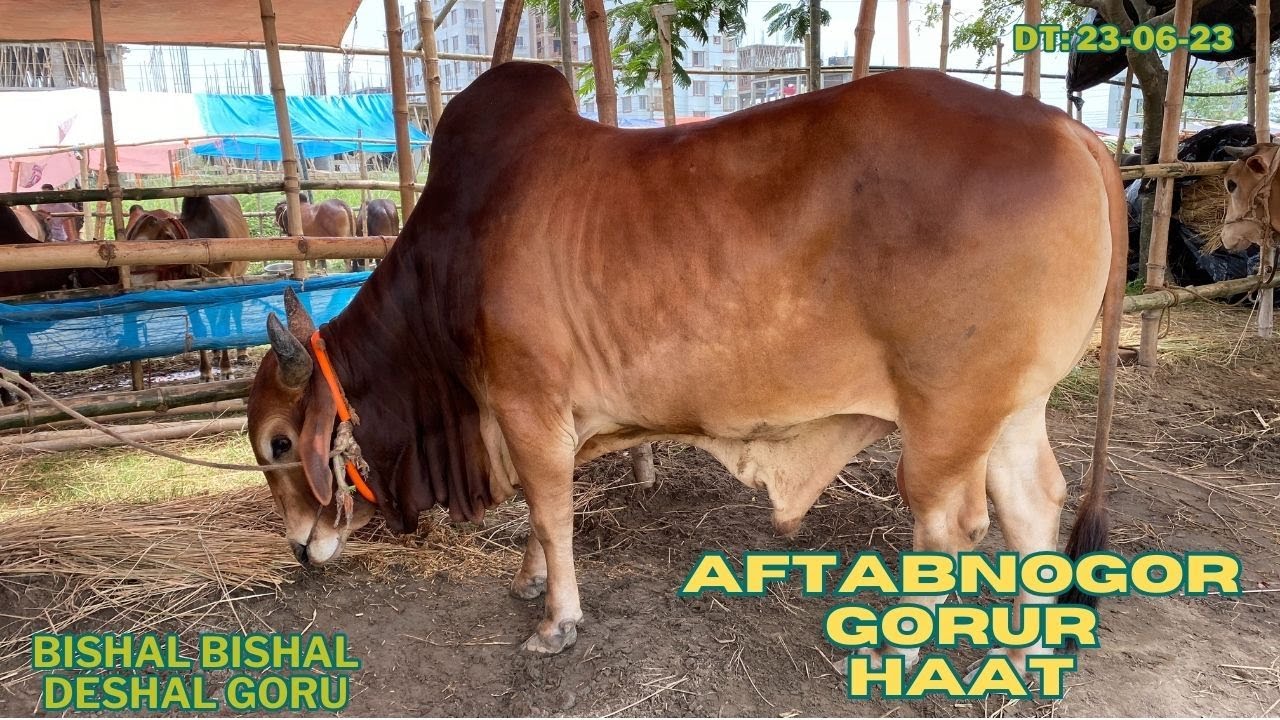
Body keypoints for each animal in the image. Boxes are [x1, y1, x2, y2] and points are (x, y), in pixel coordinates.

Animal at [125, 195, 251, 381]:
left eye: (168, 237)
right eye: (128, 238)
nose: (135, 279)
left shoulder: (226, 284)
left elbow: (224, 324)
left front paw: (226, 369)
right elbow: (200, 328)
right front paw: (205, 371)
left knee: (237, 310)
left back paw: (241, 352)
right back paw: (216, 353)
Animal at [246, 63, 1126, 675]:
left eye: (279, 444)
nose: (298, 549)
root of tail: (1068, 129)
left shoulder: (529, 405)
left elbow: (550, 512)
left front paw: (557, 622)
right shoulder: (541, 418)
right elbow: (539, 511)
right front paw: (532, 582)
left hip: (946, 414)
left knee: (951, 528)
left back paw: (901, 650)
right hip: (1011, 405)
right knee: (1034, 509)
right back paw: (1021, 654)